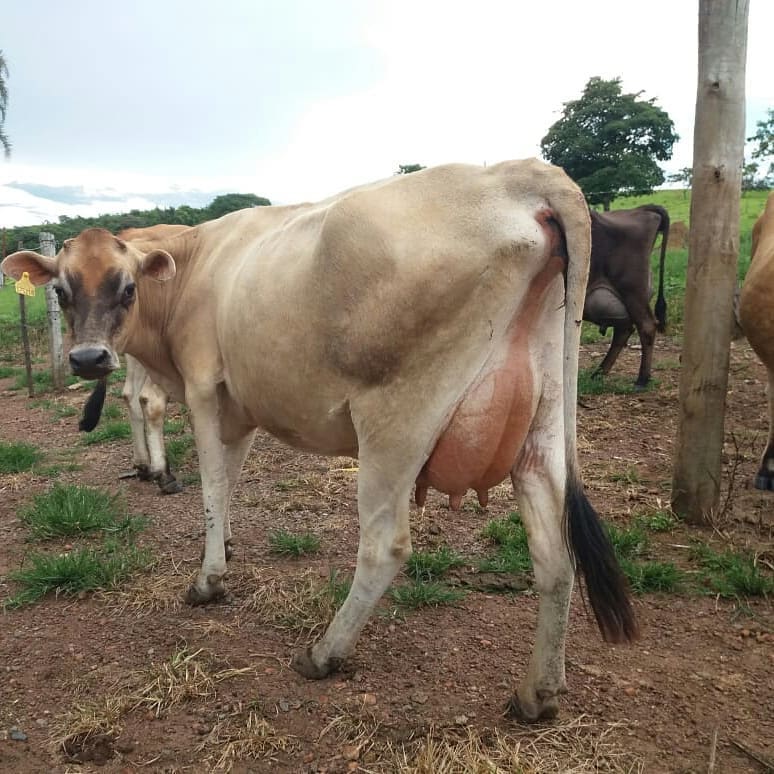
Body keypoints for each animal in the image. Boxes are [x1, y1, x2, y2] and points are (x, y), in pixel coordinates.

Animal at [583, 205, 670, 387]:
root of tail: (640, 210)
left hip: (633, 290)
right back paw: (598, 373)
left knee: (646, 326)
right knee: (624, 329)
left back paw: (642, 380)